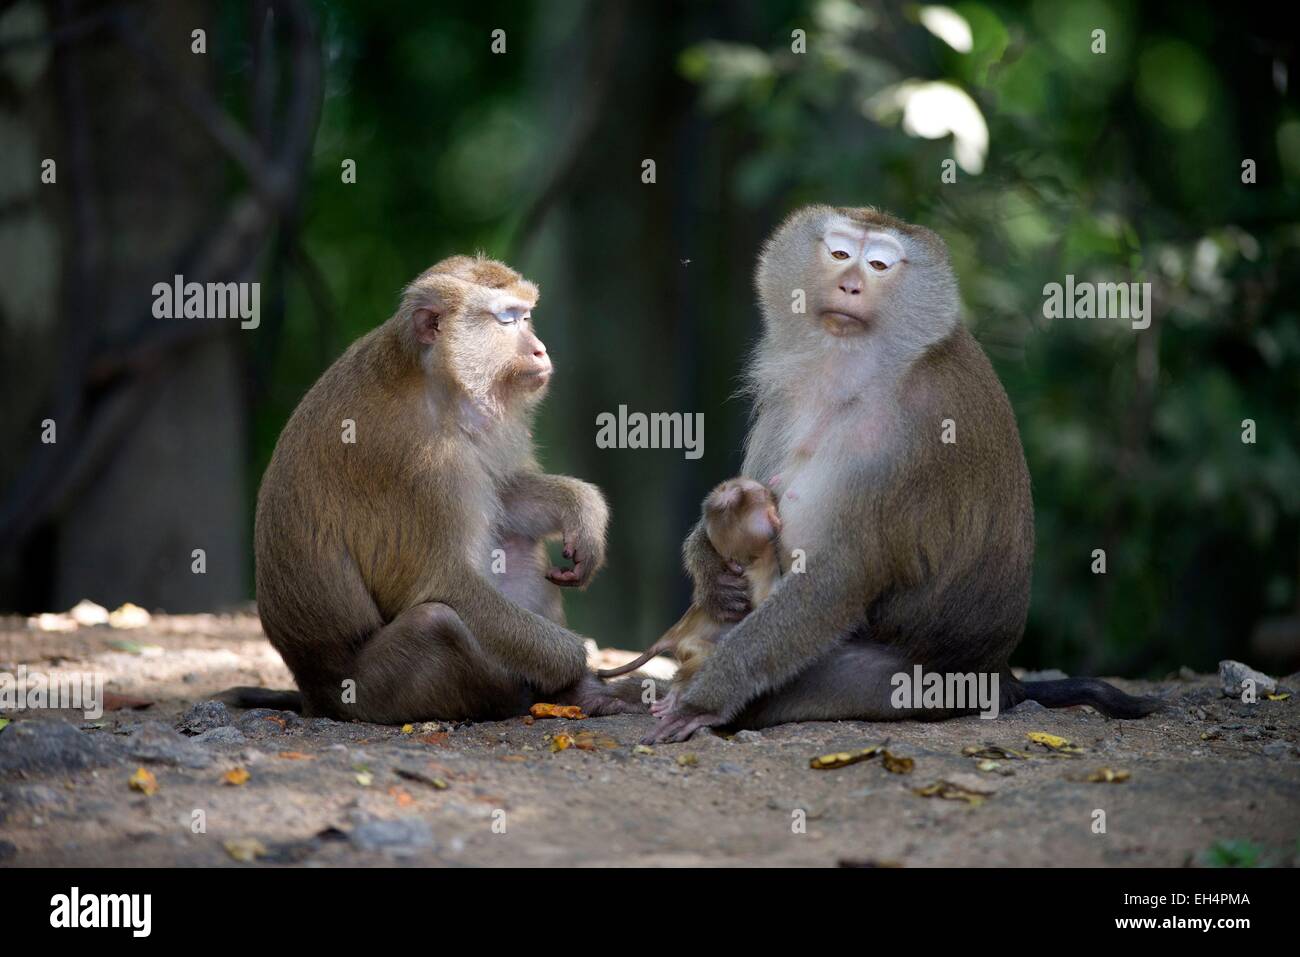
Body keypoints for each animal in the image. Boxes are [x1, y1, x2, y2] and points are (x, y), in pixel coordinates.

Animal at [240, 253, 640, 724]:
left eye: (527, 316)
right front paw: (575, 663)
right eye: (507, 320)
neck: (434, 382)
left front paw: (582, 511)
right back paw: (548, 695)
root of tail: (312, 693)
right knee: (436, 623)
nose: (540, 349)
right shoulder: (418, 461)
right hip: (371, 692)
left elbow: (504, 496)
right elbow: (444, 583)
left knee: (517, 544)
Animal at [597, 477, 782, 714]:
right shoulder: (764, 565)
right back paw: (676, 693)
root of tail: (675, 632)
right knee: (705, 654)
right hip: (690, 644)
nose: (771, 493)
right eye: (765, 496)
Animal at [643, 205, 1160, 743]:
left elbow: (838, 578)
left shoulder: (904, 431)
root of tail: (999, 676)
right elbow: (744, 497)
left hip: (910, 683)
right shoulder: (787, 397)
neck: (858, 372)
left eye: (878, 265)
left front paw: (704, 697)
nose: (850, 285)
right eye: (840, 254)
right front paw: (708, 569)